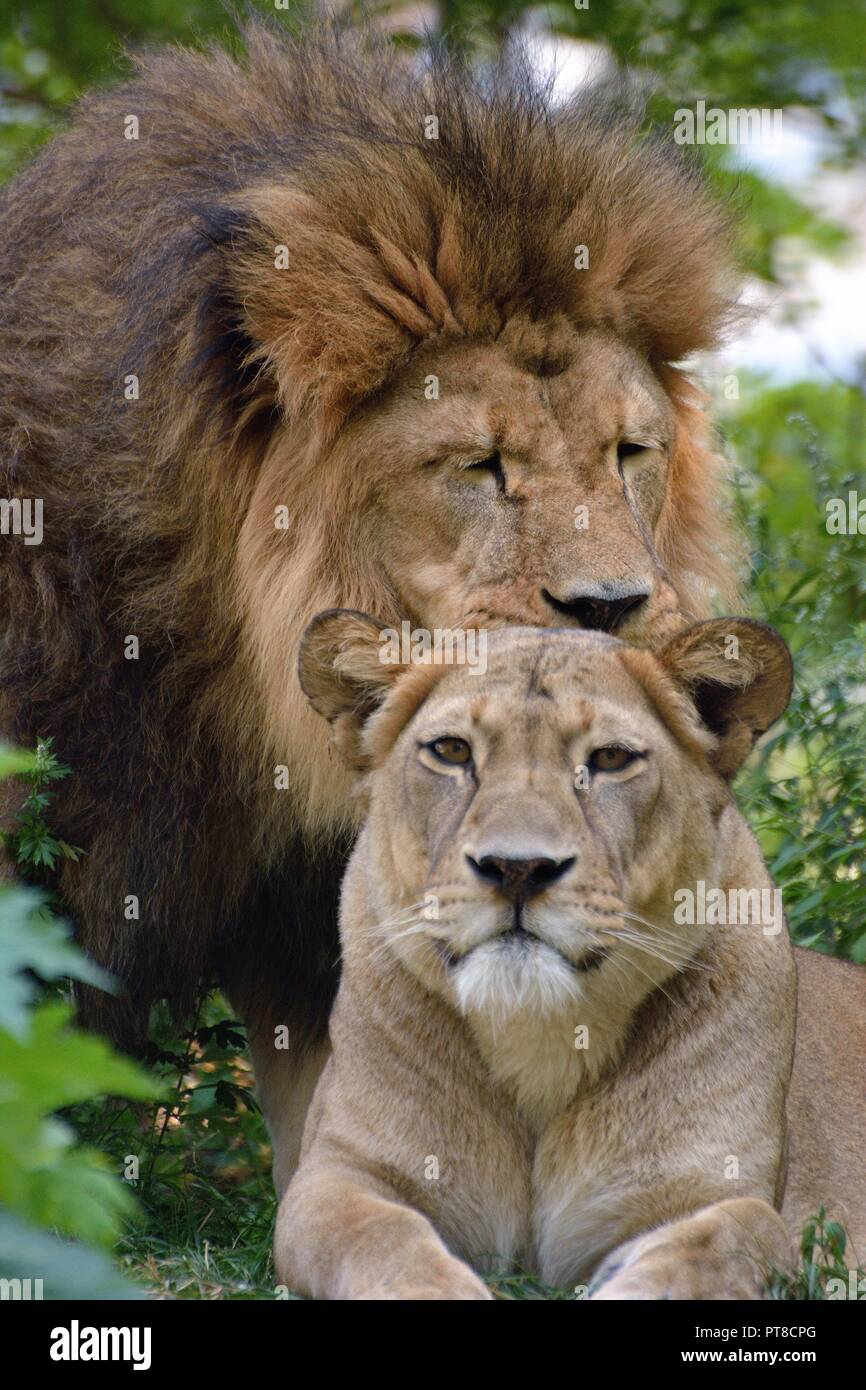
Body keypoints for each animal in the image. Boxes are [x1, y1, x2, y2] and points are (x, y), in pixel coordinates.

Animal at [275, 611, 866, 1299]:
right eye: (451, 751)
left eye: (609, 759)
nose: (517, 868)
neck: (542, 1043)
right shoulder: (338, 1173)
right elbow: (380, 1234)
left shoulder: (720, 1194)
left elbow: (713, 1248)